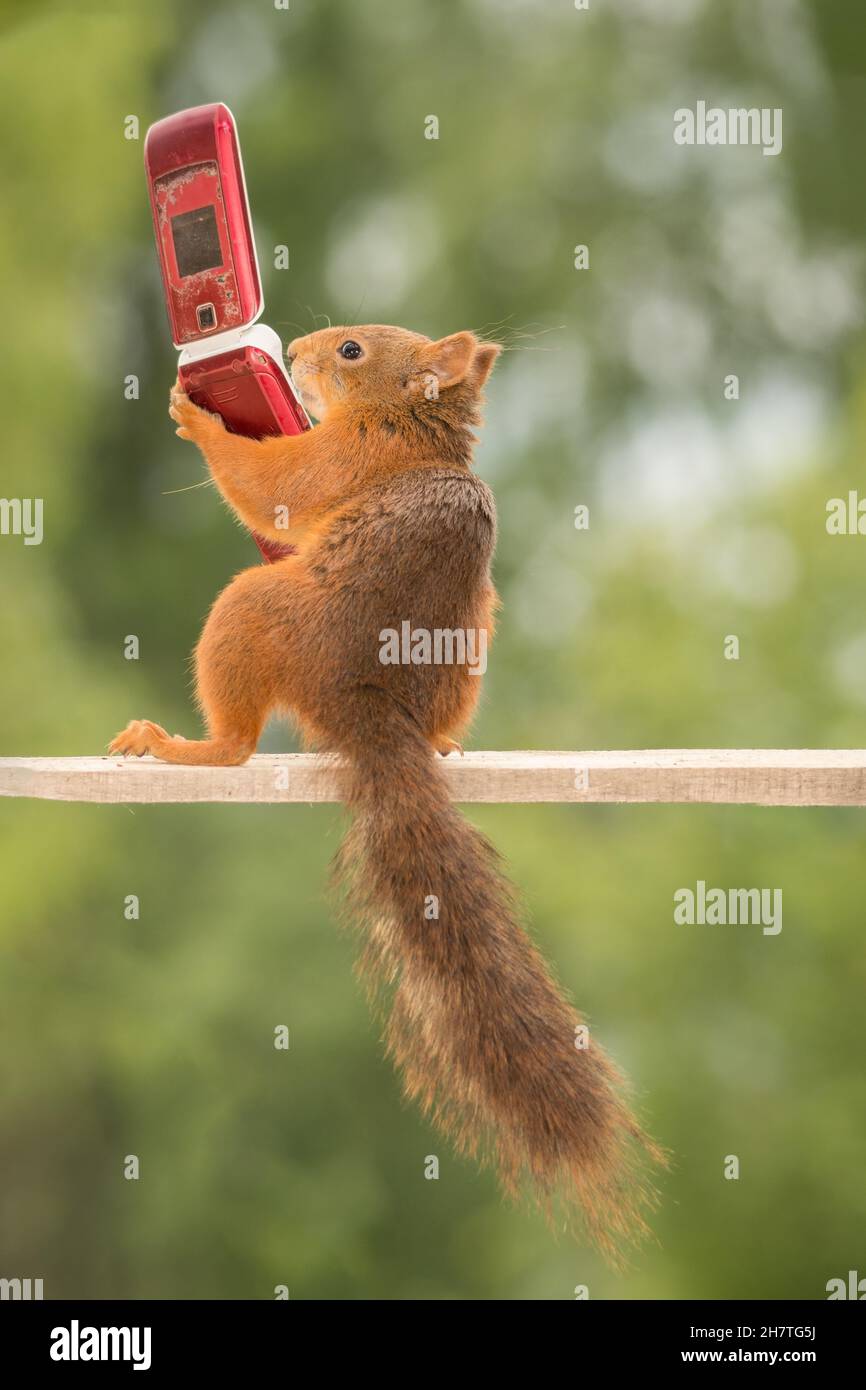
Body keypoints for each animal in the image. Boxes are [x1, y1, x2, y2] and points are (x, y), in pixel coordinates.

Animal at [110, 324, 663, 1255]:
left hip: (252, 612)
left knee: (238, 740)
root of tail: (363, 703)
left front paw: (201, 416)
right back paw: (440, 744)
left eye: (352, 350)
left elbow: (277, 491)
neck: (413, 426)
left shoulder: (347, 454)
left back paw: (183, 746)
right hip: (469, 656)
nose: (294, 349)